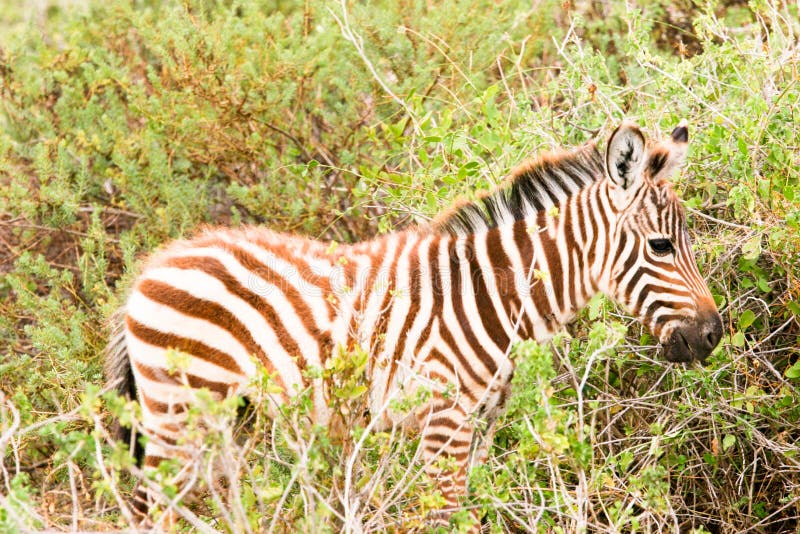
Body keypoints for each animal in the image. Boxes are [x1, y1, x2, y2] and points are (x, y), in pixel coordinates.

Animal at [105, 120, 723, 528]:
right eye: (662, 246)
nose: (714, 335)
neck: (492, 296)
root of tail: (150, 268)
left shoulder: (481, 424)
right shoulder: (442, 422)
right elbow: (445, 517)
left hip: (227, 416)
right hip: (177, 412)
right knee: (154, 509)